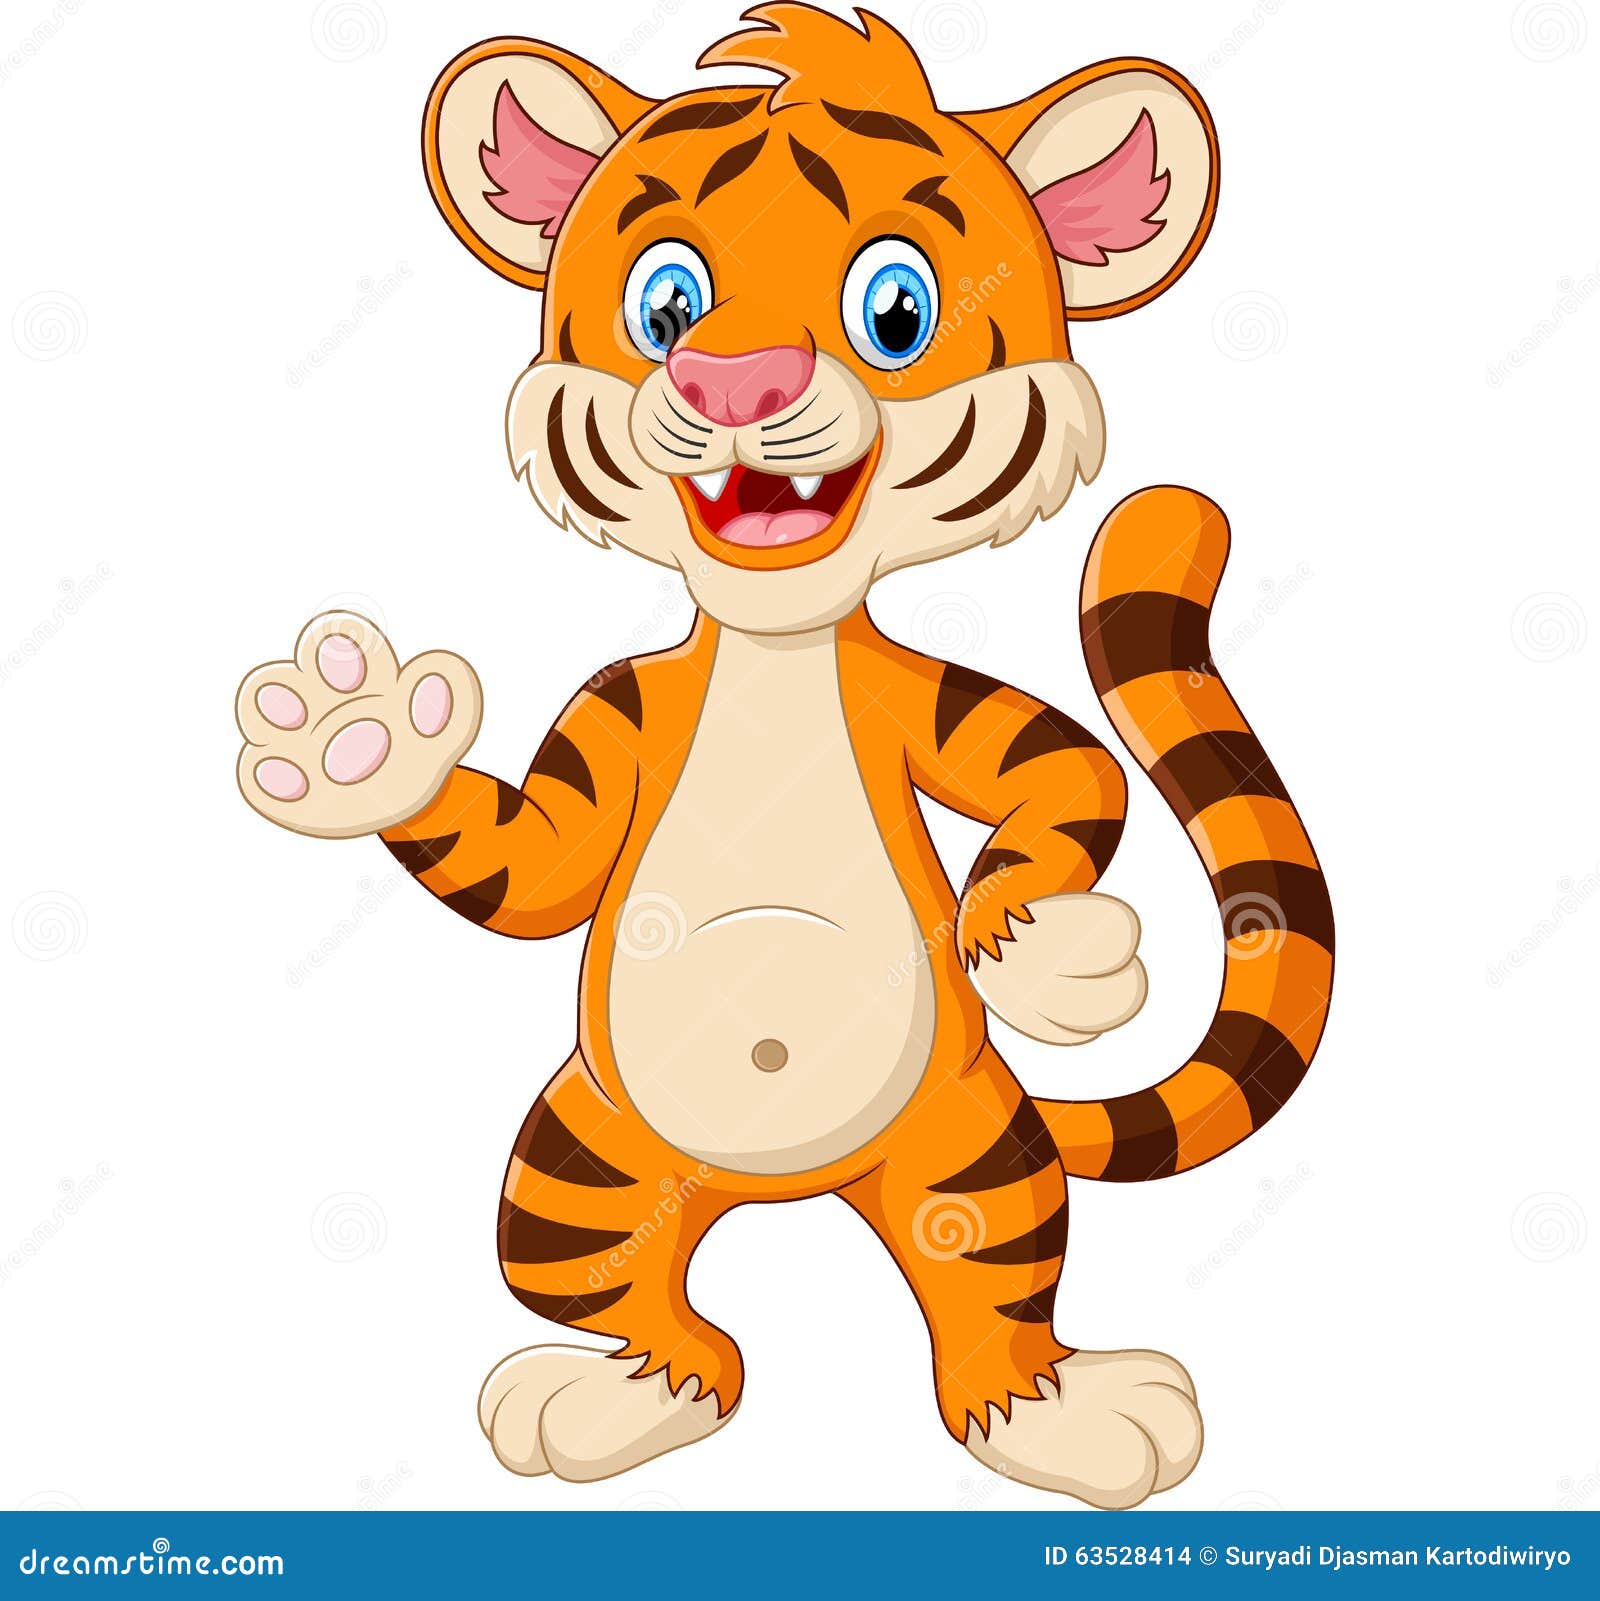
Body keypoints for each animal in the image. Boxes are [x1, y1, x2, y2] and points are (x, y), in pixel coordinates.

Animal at [233, 4, 1333, 1508]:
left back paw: (1052, 1408)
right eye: (666, 303)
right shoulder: (622, 707)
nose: (732, 377)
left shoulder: (919, 700)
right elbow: (537, 874)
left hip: (967, 1157)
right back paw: (628, 1390)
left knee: (990, 1297)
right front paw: (363, 748)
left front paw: (1047, 954)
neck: (772, 644)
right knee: (624, 1293)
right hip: (588, 1162)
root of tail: (786, 1189)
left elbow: (1065, 774)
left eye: (896, 310)